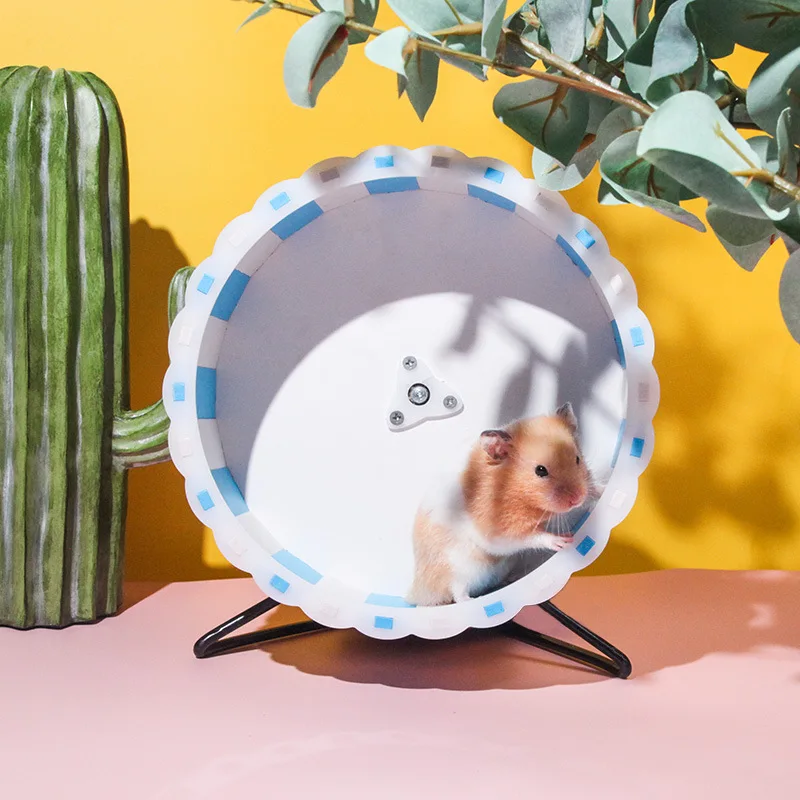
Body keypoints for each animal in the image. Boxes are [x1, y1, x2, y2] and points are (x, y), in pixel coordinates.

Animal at [407, 403, 597, 606]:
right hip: (456, 569)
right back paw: (473, 599)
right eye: (540, 470)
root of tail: (417, 591)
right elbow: (531, 537)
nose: (577, 499)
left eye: (577, 458)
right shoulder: (498, 533)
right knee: (456, 593)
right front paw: (564, 541)